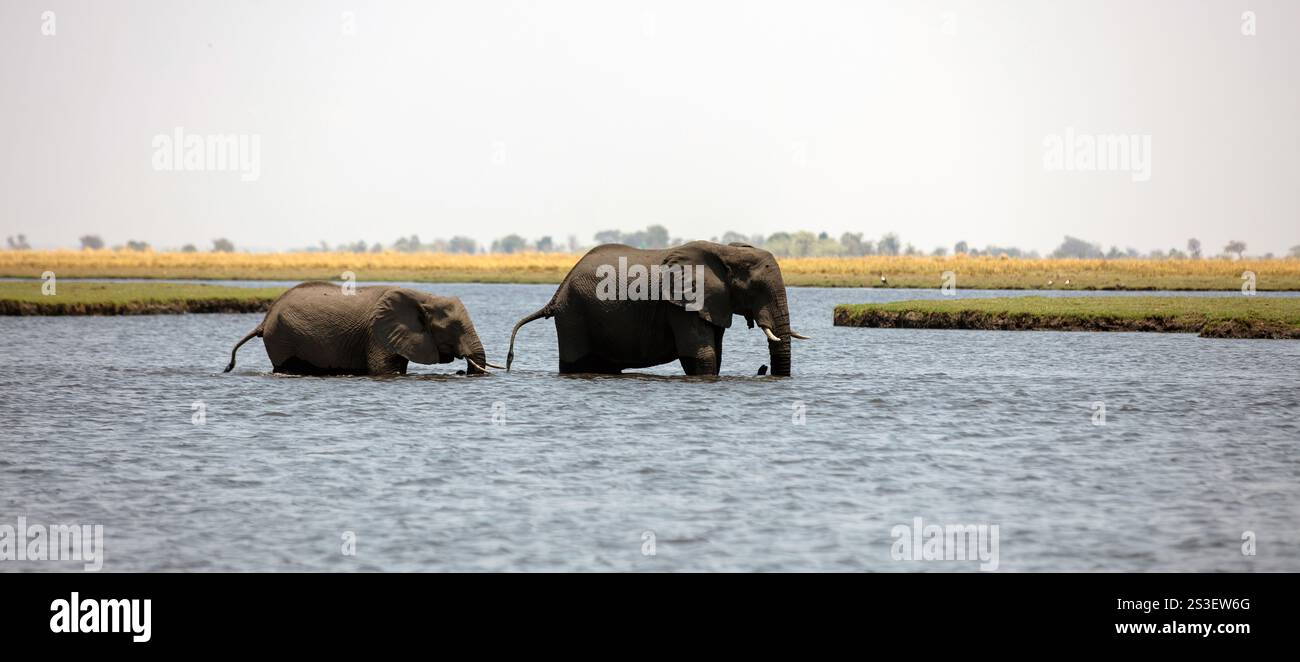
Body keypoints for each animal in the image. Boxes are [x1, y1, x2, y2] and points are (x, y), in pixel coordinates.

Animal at [224, 281, 500, 376]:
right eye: (453, 328)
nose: (462, 372)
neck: (423, 296)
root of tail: (265, 318)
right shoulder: (378, 334)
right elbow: (384, 370)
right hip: (282, 338)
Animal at [506, 241, 808, 376]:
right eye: (757, 288)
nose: (762, 369)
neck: (726, 251)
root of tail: (557, 293)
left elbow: (715, 355)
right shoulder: (683, 305)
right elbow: (702, 356)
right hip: (573, 314)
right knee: (576, 364)